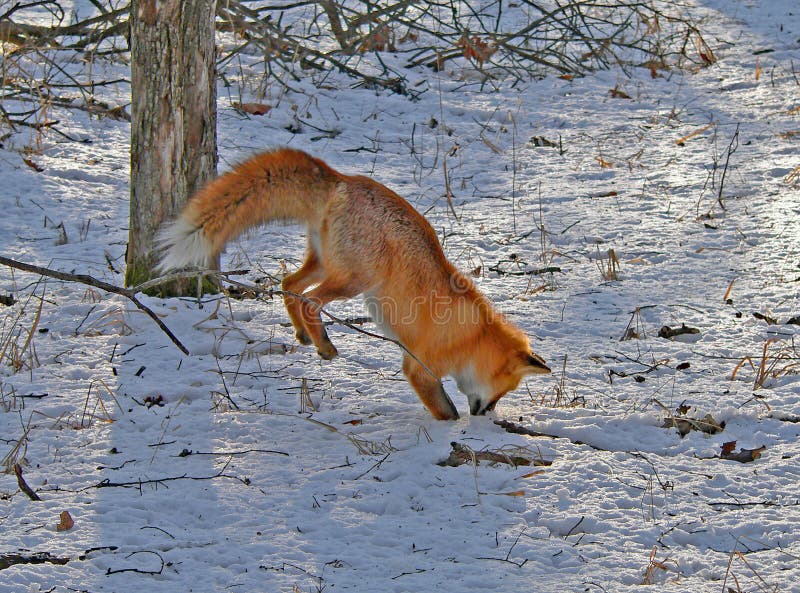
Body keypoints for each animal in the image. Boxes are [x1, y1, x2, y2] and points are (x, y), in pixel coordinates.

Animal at [158, 147, 550, 419]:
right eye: (503, 390)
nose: (486, 413)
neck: (472, 336)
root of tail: (342, 178)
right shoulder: (420, 369)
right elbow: (444, 410)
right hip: (356, 279)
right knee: (310, 301)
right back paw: (325, 344)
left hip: (323, 265)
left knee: (289, 283)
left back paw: (304, 336)